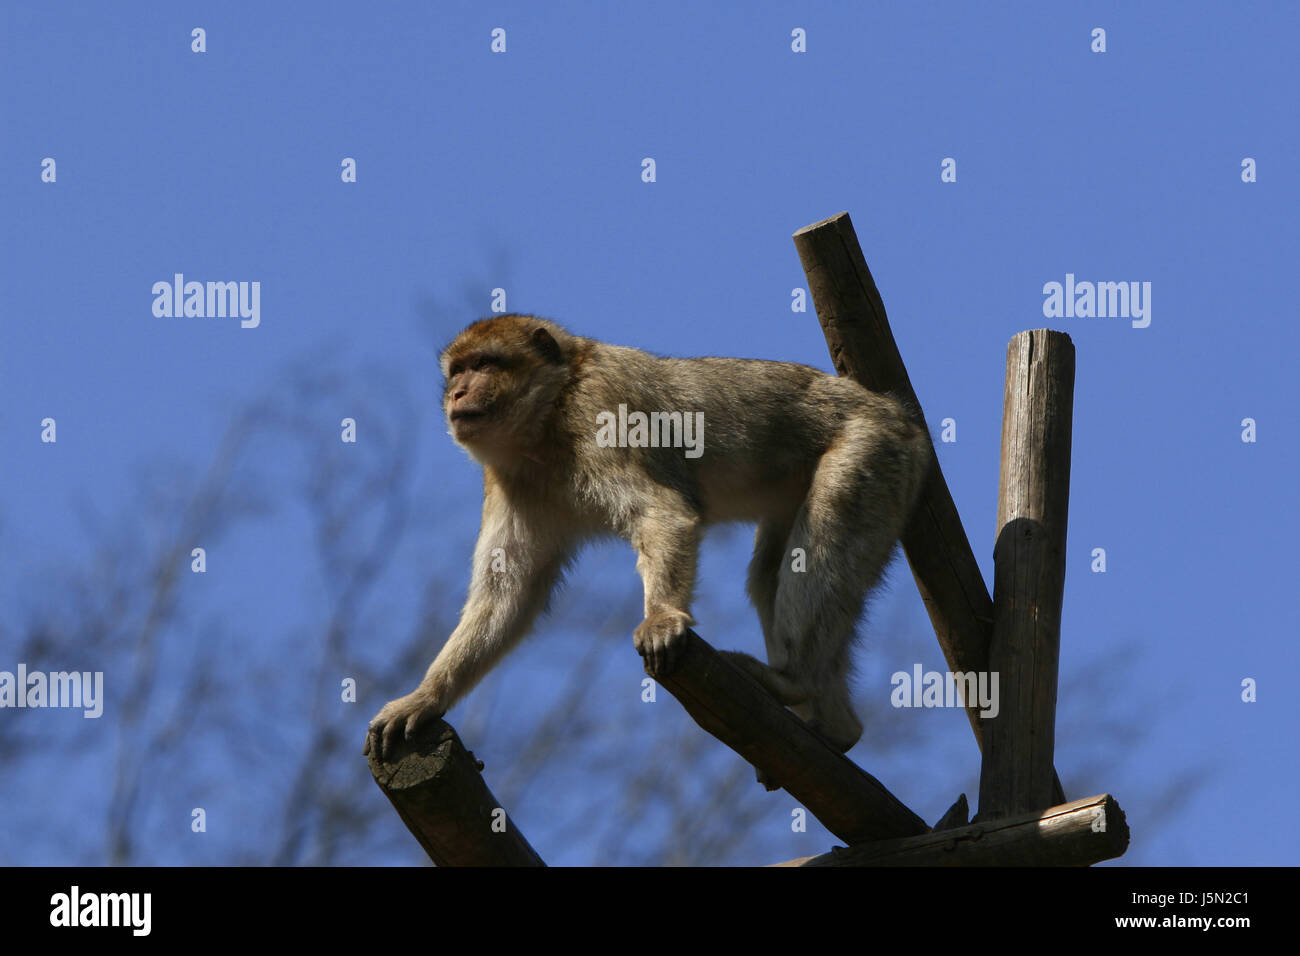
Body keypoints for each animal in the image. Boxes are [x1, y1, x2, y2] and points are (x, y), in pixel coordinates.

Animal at [364, 313, 931, 761]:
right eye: (457, 370)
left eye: (484, 364)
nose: (458, 393)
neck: (549, 415)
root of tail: (897, 415)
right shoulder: (508, 480)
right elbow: (508, 593)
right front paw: (425, 698)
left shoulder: (600, 409)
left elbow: (665, 514)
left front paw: (660, 617)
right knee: (771, 572)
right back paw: (839, 724)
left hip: (869, 451)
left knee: (821, 545)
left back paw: (793, 680)